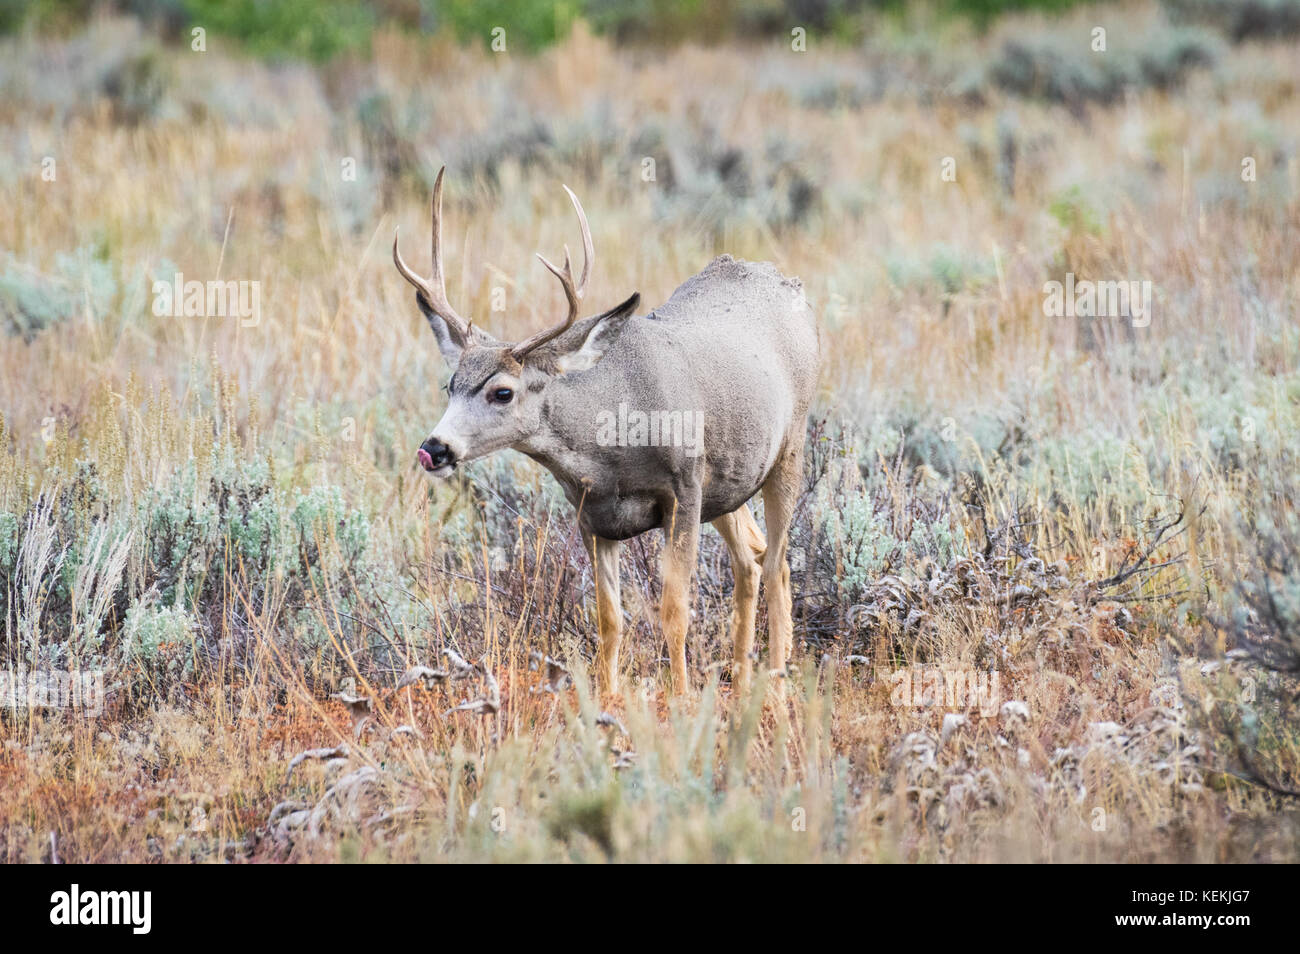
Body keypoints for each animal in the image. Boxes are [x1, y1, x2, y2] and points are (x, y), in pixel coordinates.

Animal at [394, 168, 819, 696]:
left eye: (502, 392)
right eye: (449, 385)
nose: (434, 448)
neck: (612, 446)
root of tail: (790, 287)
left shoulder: (684, 489)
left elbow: (674, 611)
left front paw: (681, 699)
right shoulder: (592, 515)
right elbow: (609, 620)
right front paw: (609, 700)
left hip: (789, 447)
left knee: (778, 561)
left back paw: (775, 685)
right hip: (730, 482)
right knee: (751, 557)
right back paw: (742, 680)